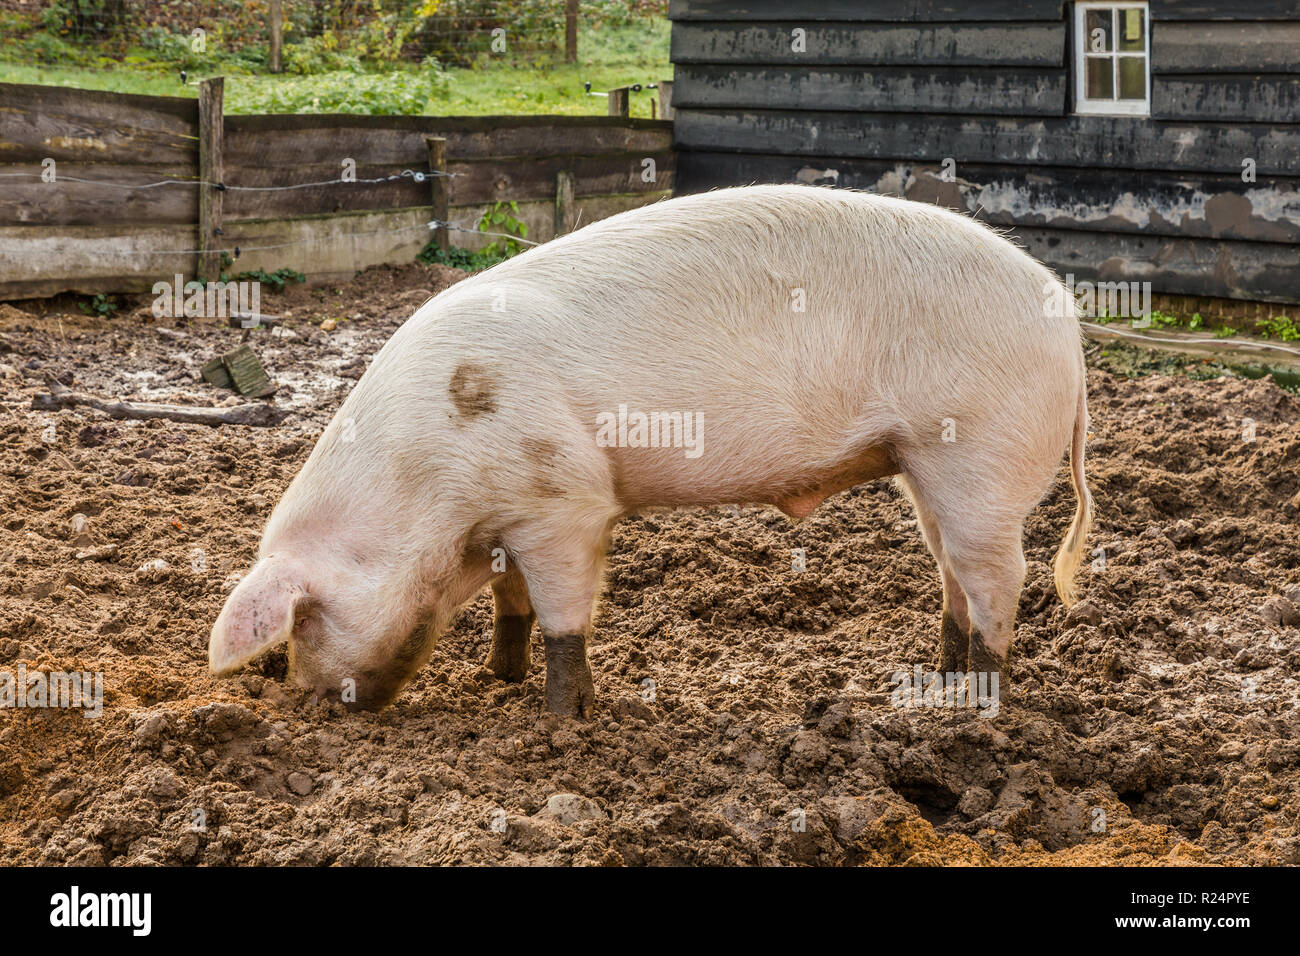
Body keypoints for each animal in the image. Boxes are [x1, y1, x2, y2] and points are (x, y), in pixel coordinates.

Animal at [209, 184, 1091, 717]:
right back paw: (938, 684)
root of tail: (1070, 326)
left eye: (302, 623)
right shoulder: (507, 519)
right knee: (951, 572)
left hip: (980, 455)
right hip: (923, 465)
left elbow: (563, 614)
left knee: (999, 577)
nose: (308, 705)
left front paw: (559, 718)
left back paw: (980, 706)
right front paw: (495, 678)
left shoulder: (564, 502)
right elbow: (511, 601)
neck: (421, 492)